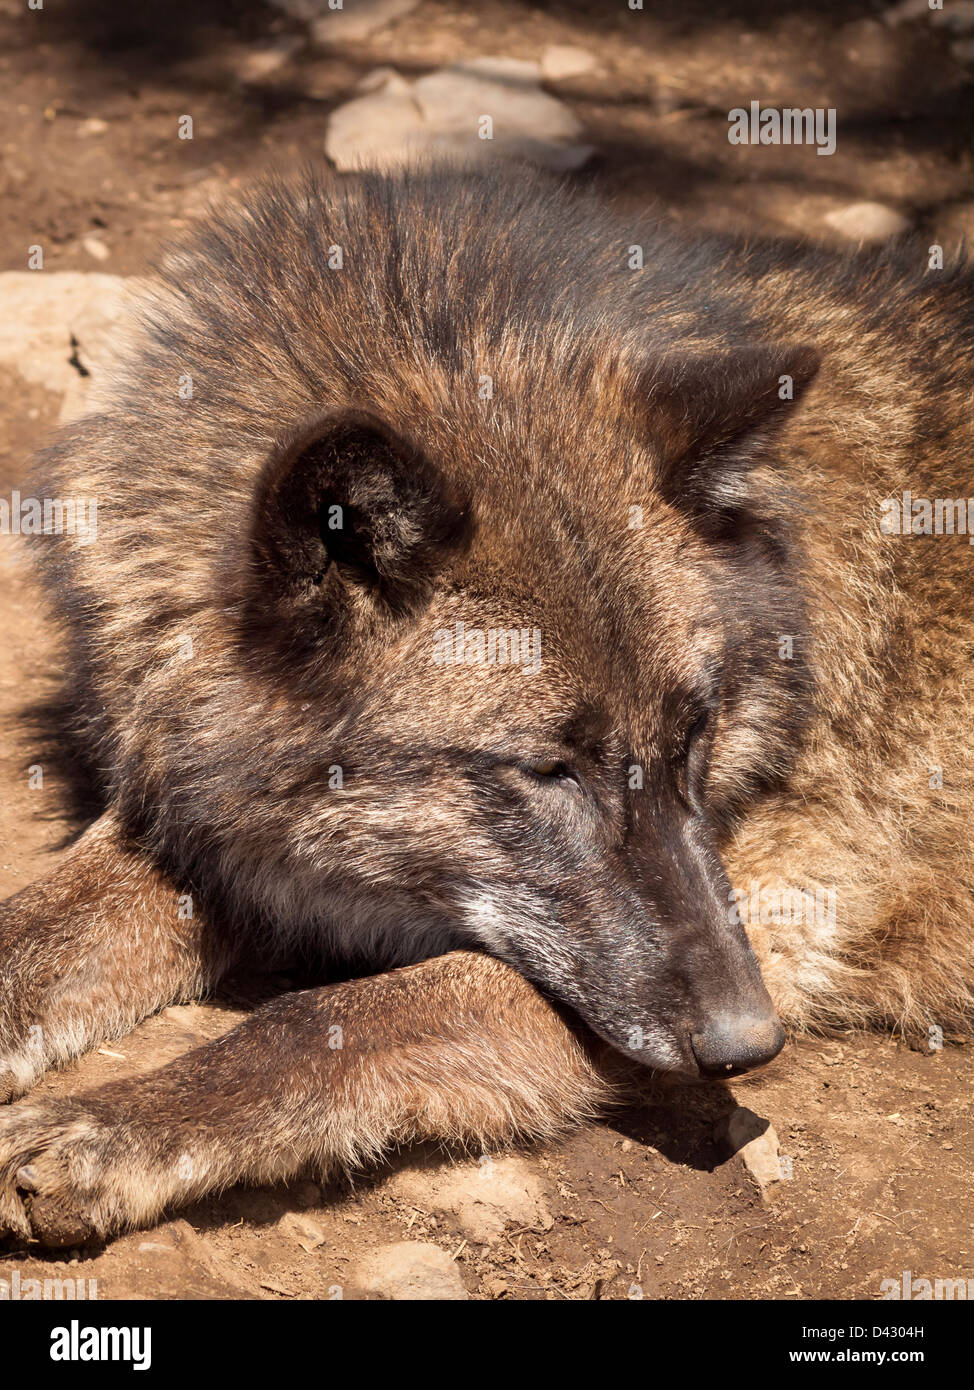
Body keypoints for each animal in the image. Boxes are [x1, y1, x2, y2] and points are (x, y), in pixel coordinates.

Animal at [0, 166, 971, 1248]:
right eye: (548, 770)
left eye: (696, 737)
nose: (748, 1040)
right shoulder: (198, 824)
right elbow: (34, 934)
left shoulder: (774, 908)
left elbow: (330, 1017)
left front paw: (112, 1127)